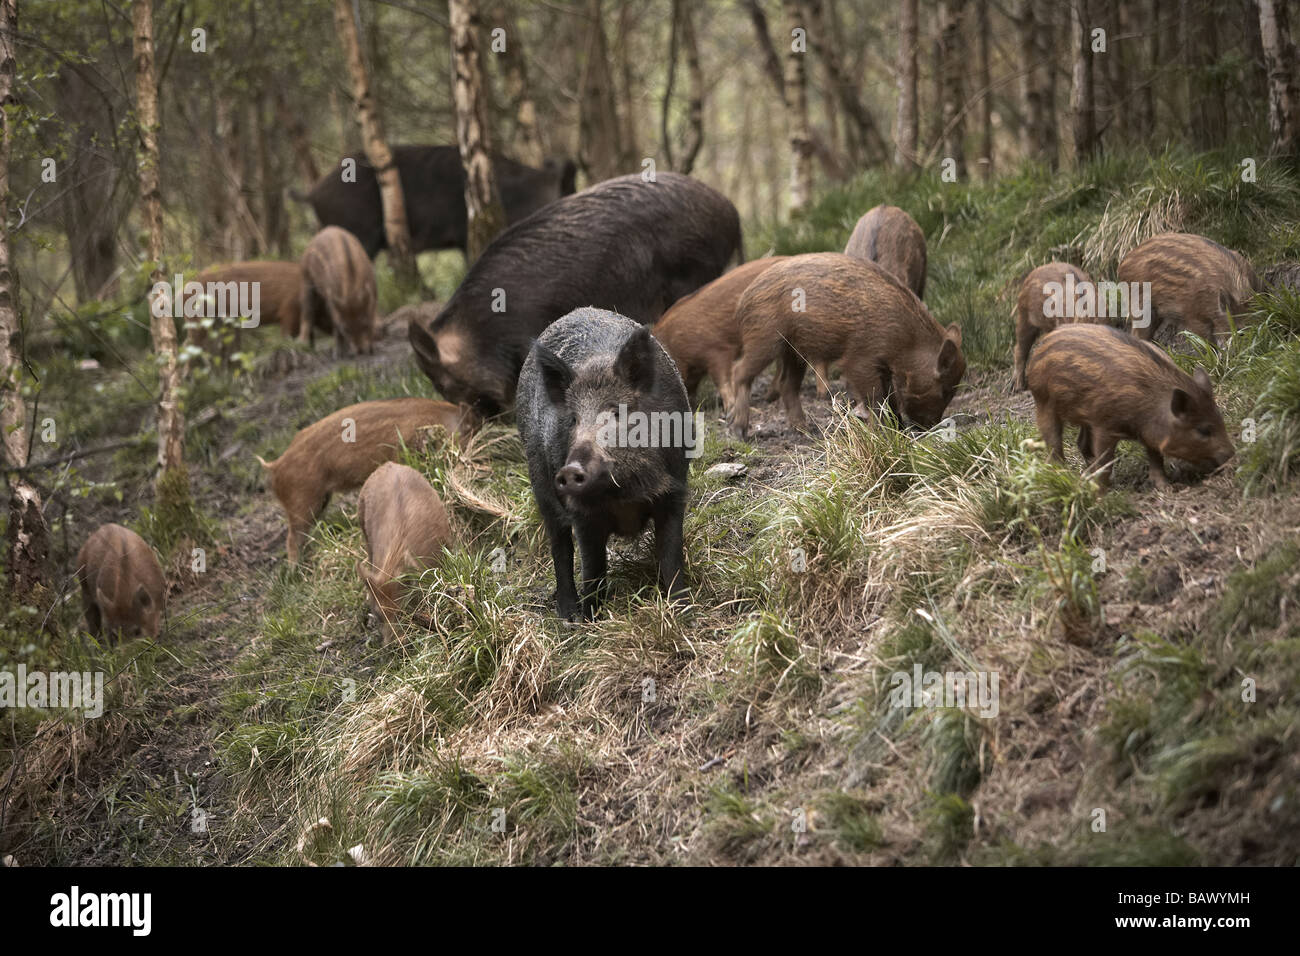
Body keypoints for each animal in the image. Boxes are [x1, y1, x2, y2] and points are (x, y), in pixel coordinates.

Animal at [300, 226, 378, 357]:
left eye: (364, 323)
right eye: (346, 329)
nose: (360, 350)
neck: (351, 291)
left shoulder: (373, 293)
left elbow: (373, 315)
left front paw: (371, 348)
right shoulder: (331, 299)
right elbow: (335, 324)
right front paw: (338, 353)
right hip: (306, 280)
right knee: (307, 312)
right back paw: (303, 344)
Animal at [517, 307, 690, 621]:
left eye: (617, 412)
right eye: (573, 419)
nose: (571, 470)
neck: (623, 496)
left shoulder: (674, 491)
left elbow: (671, 557)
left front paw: (682, 611)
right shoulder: (582, 515)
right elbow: (592, 570)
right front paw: (588, 620)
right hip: (541, 487)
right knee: (560, 547)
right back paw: (567, 615)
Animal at [728, 253, 965, 438]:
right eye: (945, 390)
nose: (929, 427)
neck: (908, 342)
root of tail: (743, 301)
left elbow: (890, 398)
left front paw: (897, 429)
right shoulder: (859, 359)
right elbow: (875, 397)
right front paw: (883, 433)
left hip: (794, 351)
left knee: (788, 384)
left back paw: (804, 430)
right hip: (764, 340)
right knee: (739, 372)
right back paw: (739, 431)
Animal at [1026, 324, 1234, 489]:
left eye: (1221, 420)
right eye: (1203, 430)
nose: (1233, 455)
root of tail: (1042, 344)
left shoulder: (1148, 433)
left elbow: (1156, 457)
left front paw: (1166, 488)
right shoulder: (1105, 425)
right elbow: (1106, 462)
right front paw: (1100, 494)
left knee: (1081, 443)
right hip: (1044, 403)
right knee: (1054, 447)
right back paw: (1064, 475)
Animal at [1117, 232, 1259, 344]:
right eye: (1240, 331)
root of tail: (1122, 264)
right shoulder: (1192, 315)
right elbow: (1207, 342)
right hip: (1141, 307)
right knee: (1138, 335)